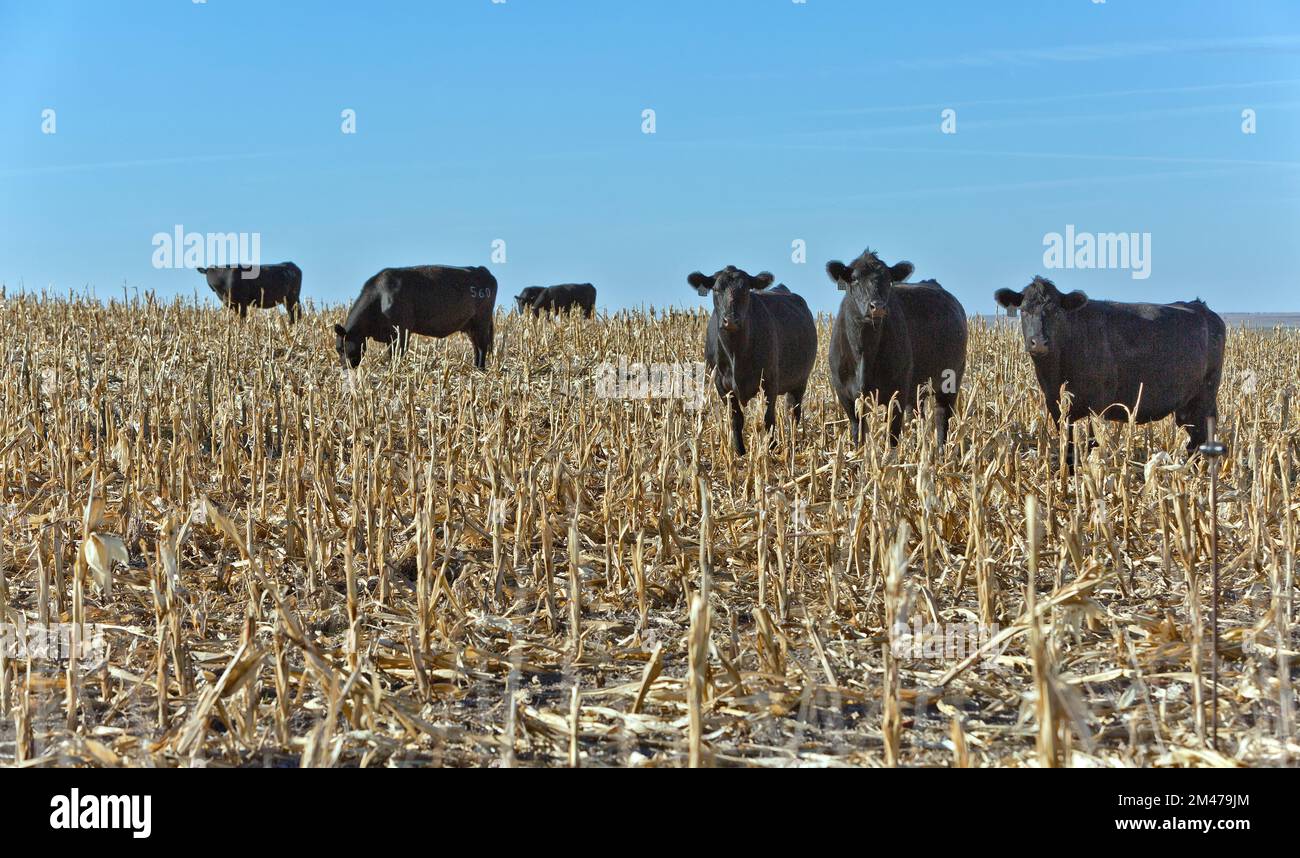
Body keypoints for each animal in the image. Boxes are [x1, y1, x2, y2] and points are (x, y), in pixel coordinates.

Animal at [334, 265, 497, 370]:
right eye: (337, 349)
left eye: (341, 348)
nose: (345, 368)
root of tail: (482, 269)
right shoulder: (389, 336)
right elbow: (392, 354)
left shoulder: (402, 330)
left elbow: (397, 353)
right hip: (470, 326)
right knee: (476, 346)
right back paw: (475, 367)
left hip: (482, 322)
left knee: (482, 346)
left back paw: (480, 370)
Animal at [687, 266, 818, 455]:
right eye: (716, 289)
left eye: (745, 290)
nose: (731, 320)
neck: (736, 353)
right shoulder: (721, 384)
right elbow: (735, 419)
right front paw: (739, 452)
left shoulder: (769, 382)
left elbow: (768, 419)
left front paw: (770, 449)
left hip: (800, 381)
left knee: (792, 413)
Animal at [826, 250, 967, 448]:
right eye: (854, 278)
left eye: (889, 279)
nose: (877, 306)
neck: (864, 352)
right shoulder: (845, 394)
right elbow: (857, 434)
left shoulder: (897, 392)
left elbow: (892, 436)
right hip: (917, 388)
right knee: (916, 415)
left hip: (951, 380)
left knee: (942, 417)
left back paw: (940, 451)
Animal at [994, 276, 1225, 455]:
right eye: (1024, 311)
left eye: (1057, 312)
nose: (1039, 342)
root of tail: (1201, 307)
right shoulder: (1056, 405)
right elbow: (1067, 445)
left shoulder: (1097, 406)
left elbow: (1091, 445)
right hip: (1187, 406)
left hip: (1204, 398)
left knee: (1200, 440)